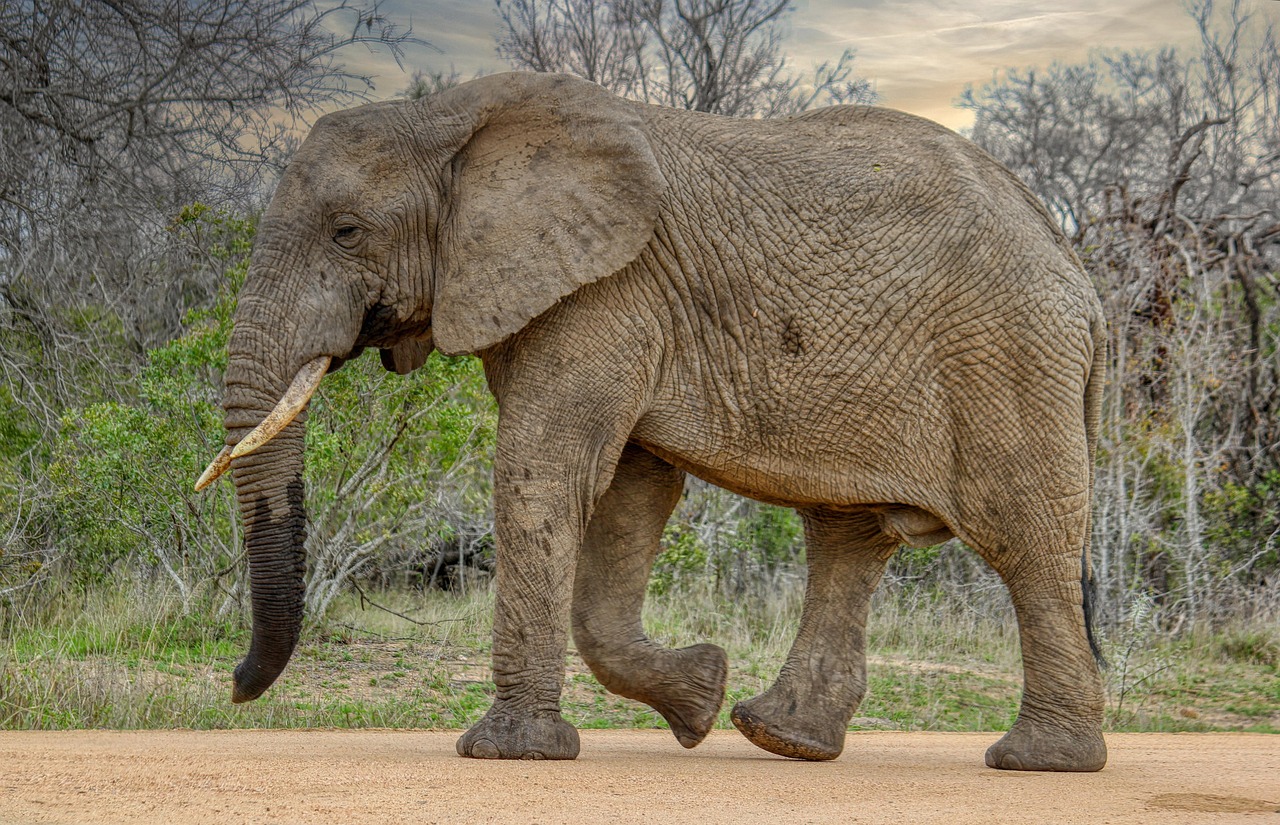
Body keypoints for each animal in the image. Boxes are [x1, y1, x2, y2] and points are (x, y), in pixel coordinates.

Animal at [195, 71, 1108, 772]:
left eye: (347, 232)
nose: (235, 683)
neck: (448, 115)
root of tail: (1073, 261)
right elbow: (631, 489)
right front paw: (698, 698)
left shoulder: (608, 289)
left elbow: (545, 469)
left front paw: (509, 751)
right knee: (847, 536)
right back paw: (779, 736)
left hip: (1009, 356)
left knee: (1026, 538)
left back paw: (1038, 761)